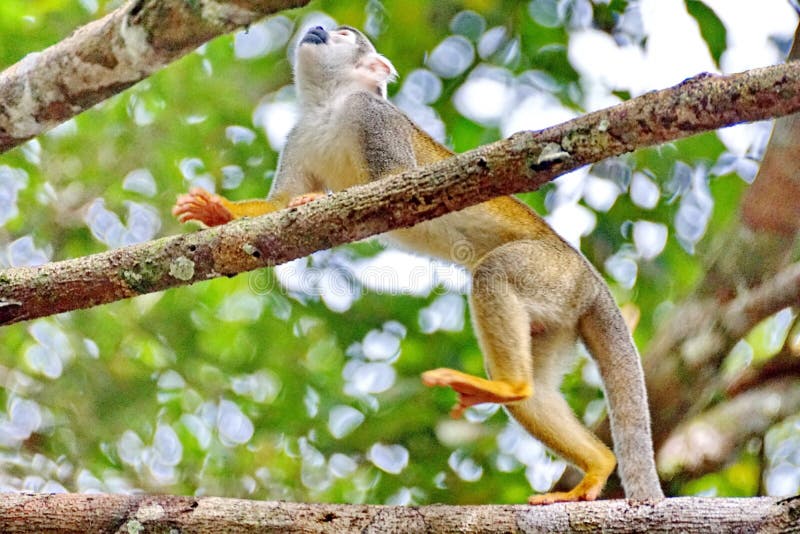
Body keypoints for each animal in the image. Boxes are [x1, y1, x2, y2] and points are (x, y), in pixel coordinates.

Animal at [173, 25, 664, 504]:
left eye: (342, 34)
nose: (316, 29)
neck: (330, 104)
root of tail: (591, 278)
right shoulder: (299, 133)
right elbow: (277, 206)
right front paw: (219, 210)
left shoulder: (375, 116)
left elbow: (397, 185)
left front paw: (317, 201)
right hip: (560, 314)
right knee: (538, 392)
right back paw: (592, 460)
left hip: (553, 273)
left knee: (494, 274)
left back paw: (509, 387)